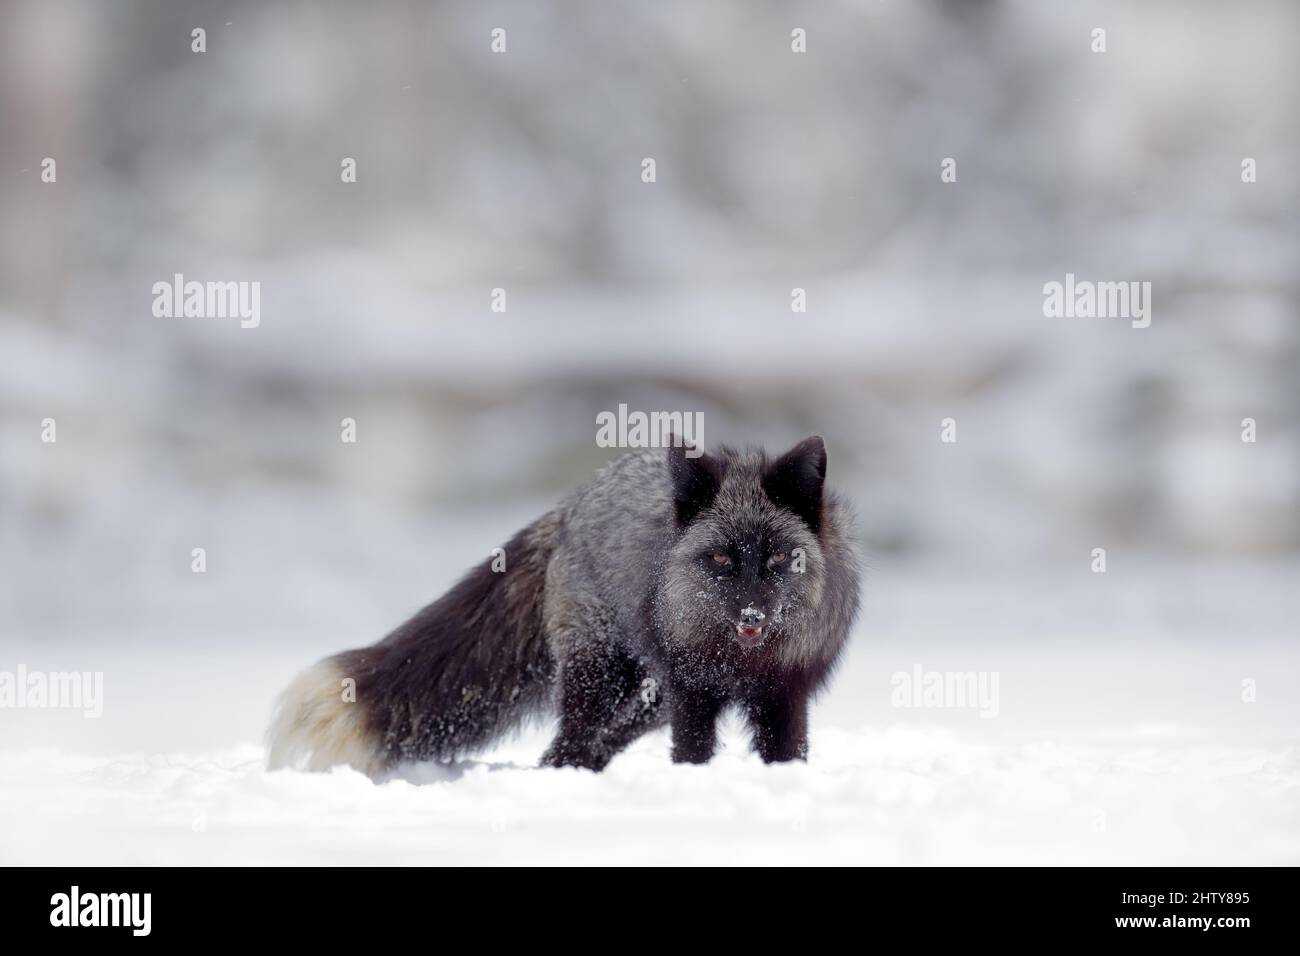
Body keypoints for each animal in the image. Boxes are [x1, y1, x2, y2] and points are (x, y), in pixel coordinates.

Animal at [266, 435, 861, 775]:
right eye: (719, 558)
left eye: (780, 557)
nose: (752, 615)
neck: (742, 664)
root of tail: (571, 504)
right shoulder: (691, 693)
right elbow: (692, 754)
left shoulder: (786, 693)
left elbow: (786, 755)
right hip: (601, 676)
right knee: (569, 743)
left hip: (648, 700)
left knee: (598, 742)